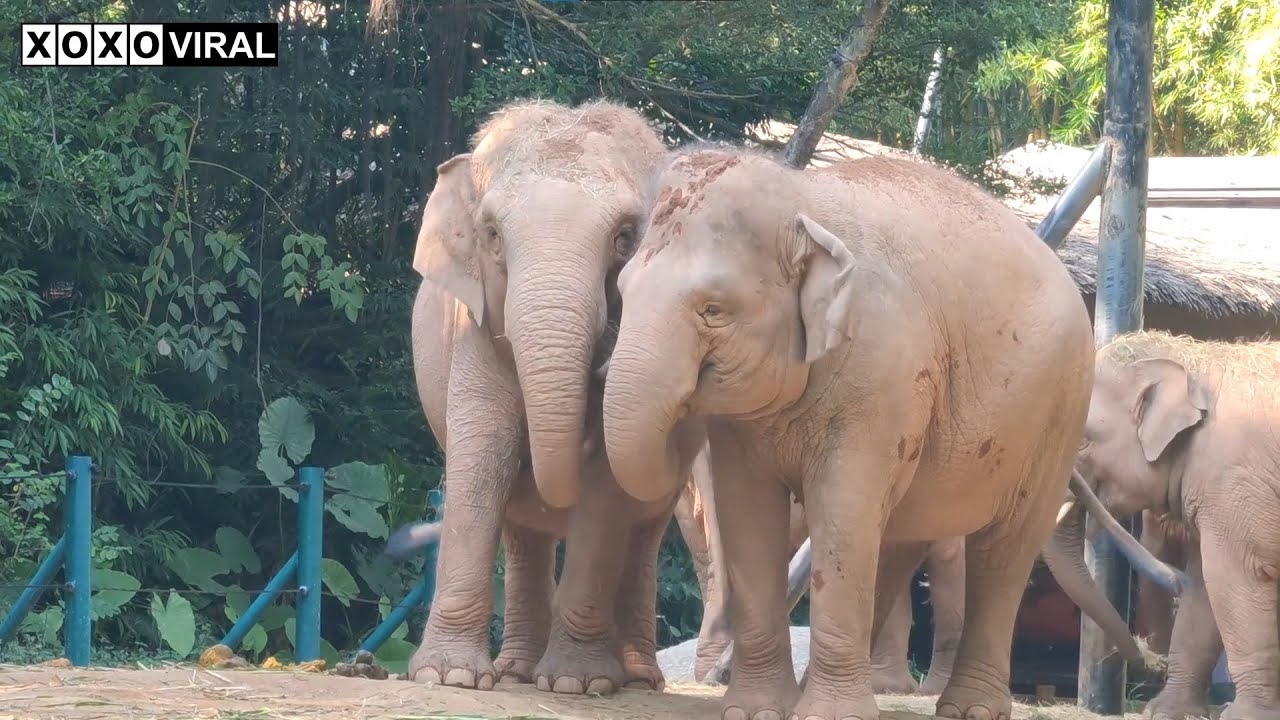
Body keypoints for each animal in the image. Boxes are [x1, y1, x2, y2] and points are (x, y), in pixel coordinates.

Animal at [406, 98, 679, 695]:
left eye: (626, 236)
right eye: (491, 234)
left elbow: (607, 483)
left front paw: (580, 684)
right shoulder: (476, 325)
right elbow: (483, 453)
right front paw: (449, 676)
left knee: (645, 534)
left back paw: (637, 679)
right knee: (521, 533)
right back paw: (515, 672)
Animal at [600, 145, 1102, 720]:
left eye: (713, 310)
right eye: (622, 290)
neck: (804, 201)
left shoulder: (881, 376)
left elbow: (841, 509)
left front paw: (827, 714)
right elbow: (748, 513)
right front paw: (756, 710)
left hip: (1060, 412)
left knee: (1005, 548)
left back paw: (969, 708)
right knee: (899, 538)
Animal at [1056, 330, 1280, 720]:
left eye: (1082, 440)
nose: (1146, 660)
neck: (1192, 361)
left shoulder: (1235, 483)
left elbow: (1235, 577)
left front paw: (1244, 716)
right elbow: (1203, 584)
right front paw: (1167, 711)